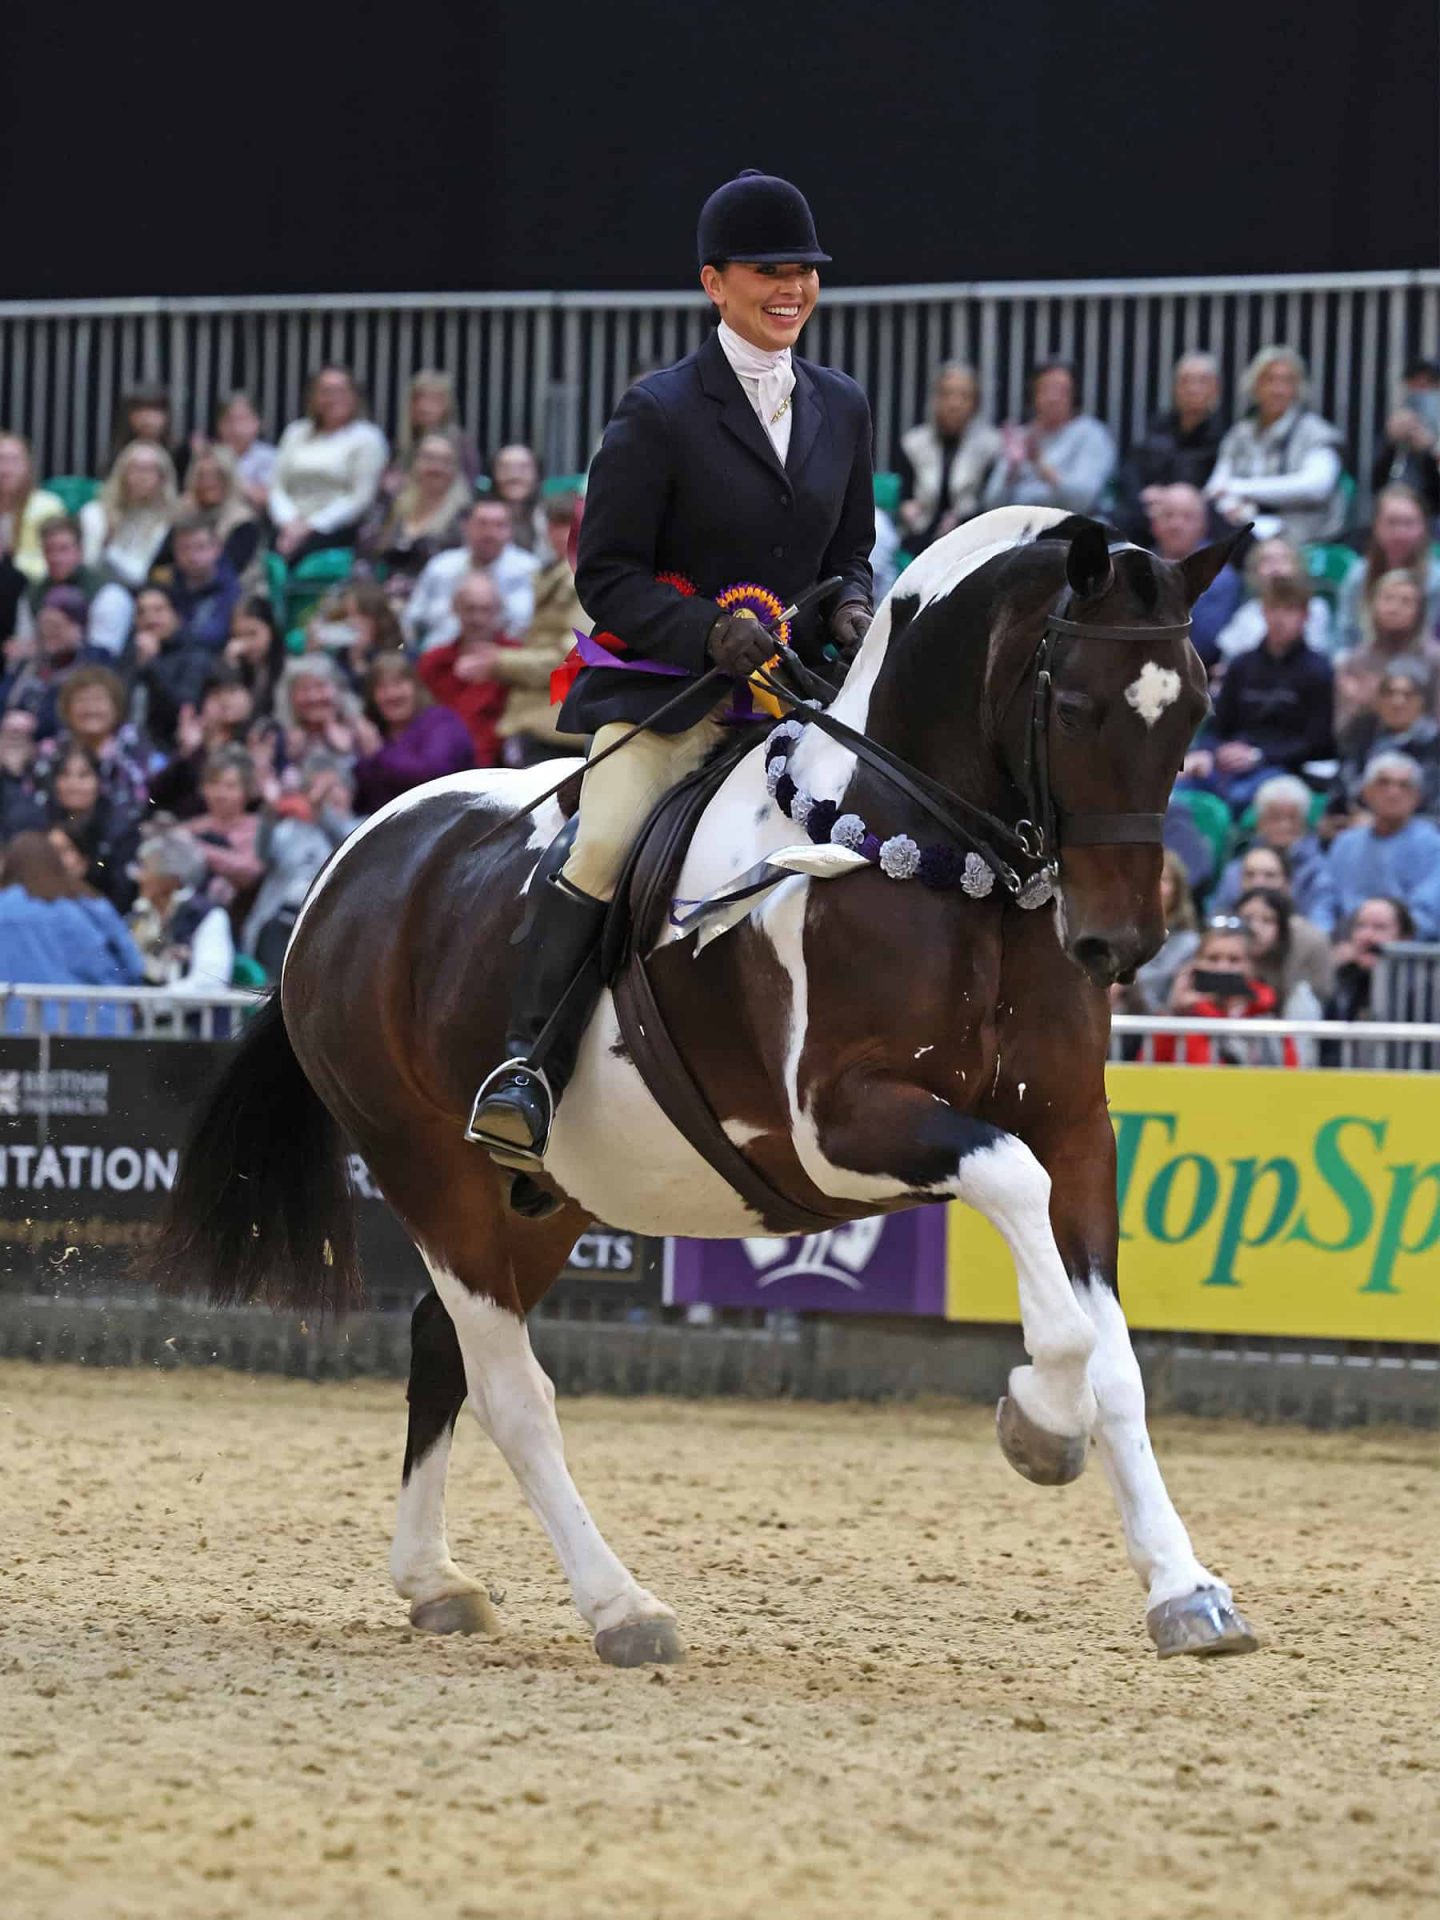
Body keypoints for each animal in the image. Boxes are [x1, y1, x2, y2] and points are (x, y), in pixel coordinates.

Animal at [155, 505, 1258, 1668]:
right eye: (1079, 707)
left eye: (1195, 709)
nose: (1119, 942)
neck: (929, 863)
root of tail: (345, 870)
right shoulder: (842, 1125)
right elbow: (1021, 1212)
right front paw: (1041, 1424)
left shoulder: (1075, 1129)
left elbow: (1115, 1354)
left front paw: (1185, 1590)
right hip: (426, 1169)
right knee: (508, 1388)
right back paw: (621, 1607)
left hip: (548, 1196)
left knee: (442, 1345)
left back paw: (435, 1582)